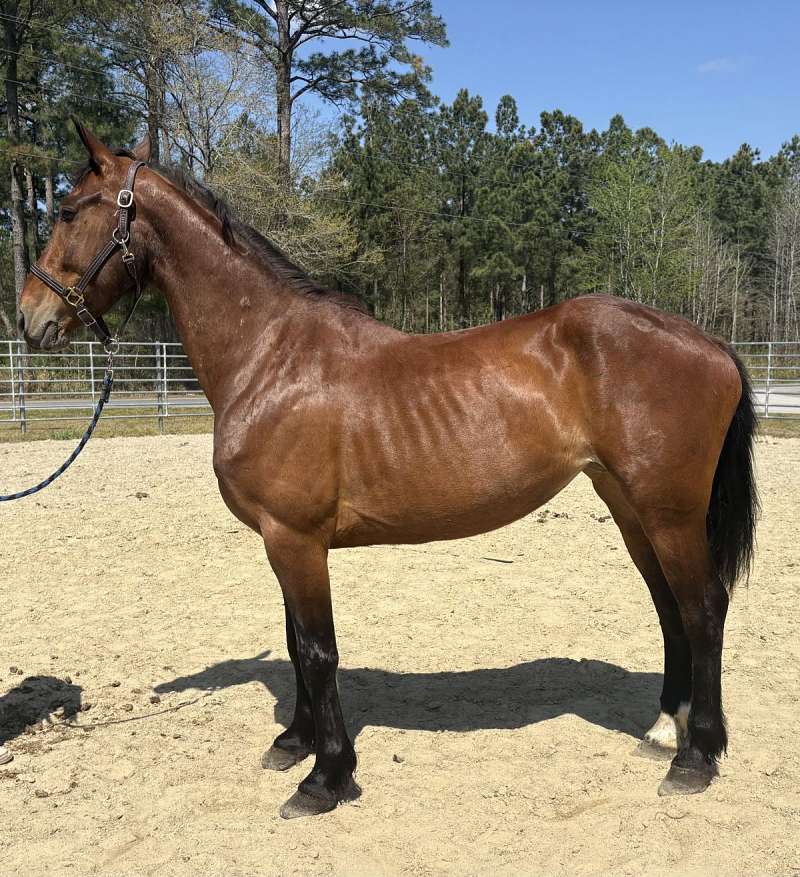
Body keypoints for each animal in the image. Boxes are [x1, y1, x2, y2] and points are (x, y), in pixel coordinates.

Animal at [18, 120, 758, 819]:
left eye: (69, 210)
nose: (30, 316)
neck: (271, 355)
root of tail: (710, 342)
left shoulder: (294, 539)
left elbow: (319, 650)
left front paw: (326, 777)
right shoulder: (282, 539)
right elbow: (295, 644)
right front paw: (295, 742)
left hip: (669, 512)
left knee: (703, 608)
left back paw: (696, 756)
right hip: (630, 506)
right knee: (669, 607)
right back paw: (664, 729)